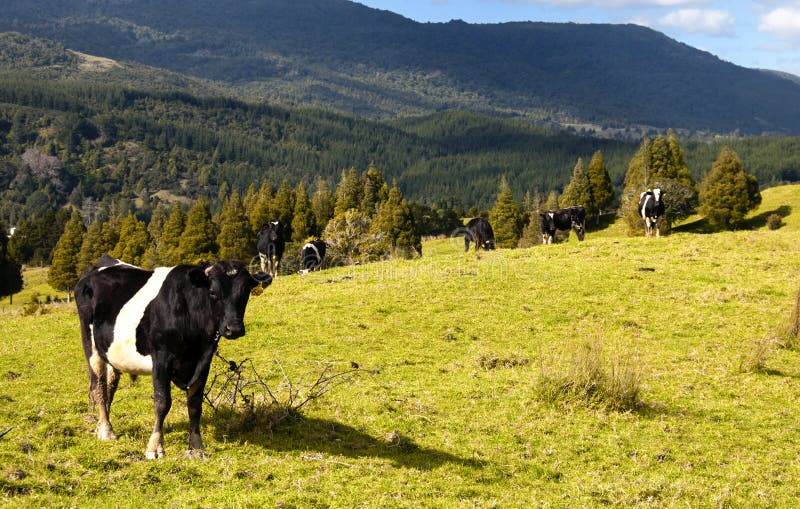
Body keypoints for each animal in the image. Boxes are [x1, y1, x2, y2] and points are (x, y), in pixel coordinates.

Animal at [74, 254, 271, 459]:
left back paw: (101, 425)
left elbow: (195, 404)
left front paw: (196, 446)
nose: (234, 329)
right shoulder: (162, 358)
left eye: (246, 291)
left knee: (109, 387)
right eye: (212, 291)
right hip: (91, 346)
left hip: (112, 352)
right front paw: (154, 447)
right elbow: (162, 403)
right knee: (98, 387)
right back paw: (106, 430)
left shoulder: (204, 359)